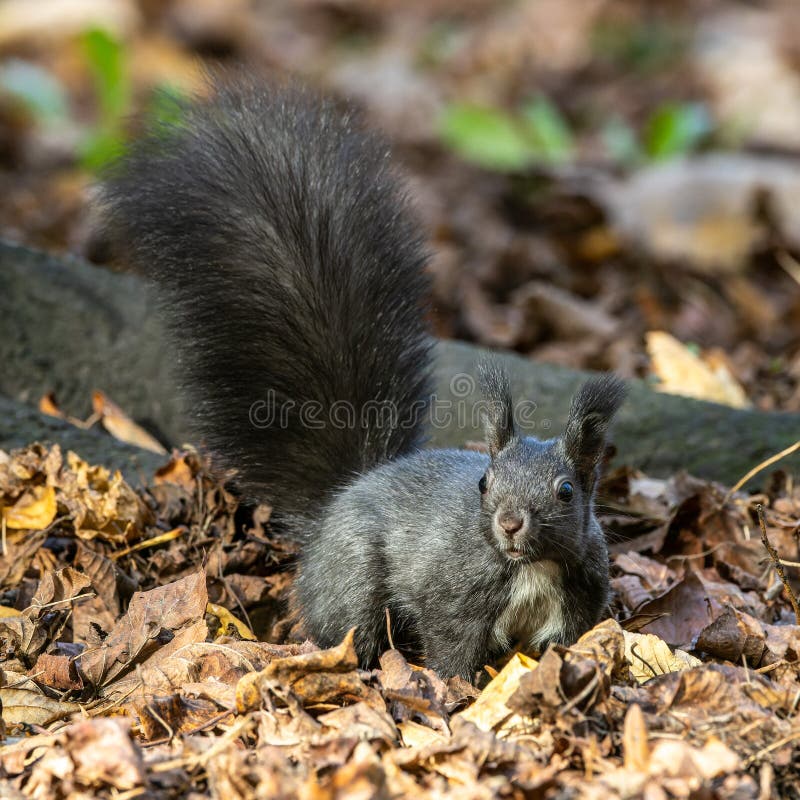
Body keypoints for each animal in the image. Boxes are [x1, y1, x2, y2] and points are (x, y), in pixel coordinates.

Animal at [99, 76, 626, 681]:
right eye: (484, 483)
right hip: (356, 574)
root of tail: (333, 509)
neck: (530, 566)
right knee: (351, 625)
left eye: (566, 491)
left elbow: (565, 646)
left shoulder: (576, 605)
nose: (511, 523)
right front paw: (455, 691)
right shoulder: (452, 596)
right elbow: (451, 649)